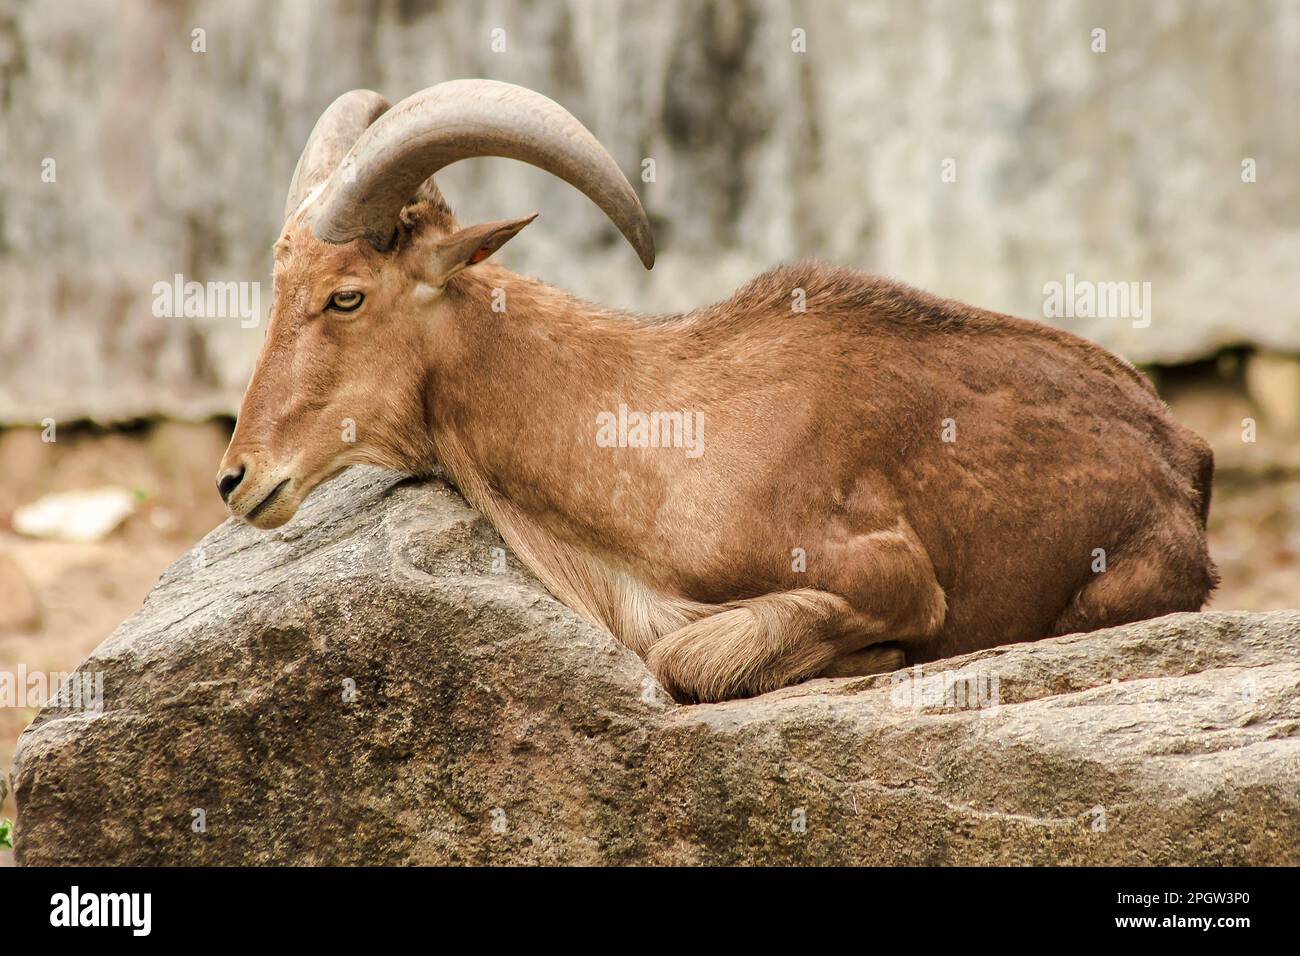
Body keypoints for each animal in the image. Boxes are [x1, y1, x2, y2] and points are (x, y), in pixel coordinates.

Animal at [216, 80, 1218, 703]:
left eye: (345, 296)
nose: (237, 478)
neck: (640, 435)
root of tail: (1190, 455)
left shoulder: (882, 569)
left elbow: (687, 655)